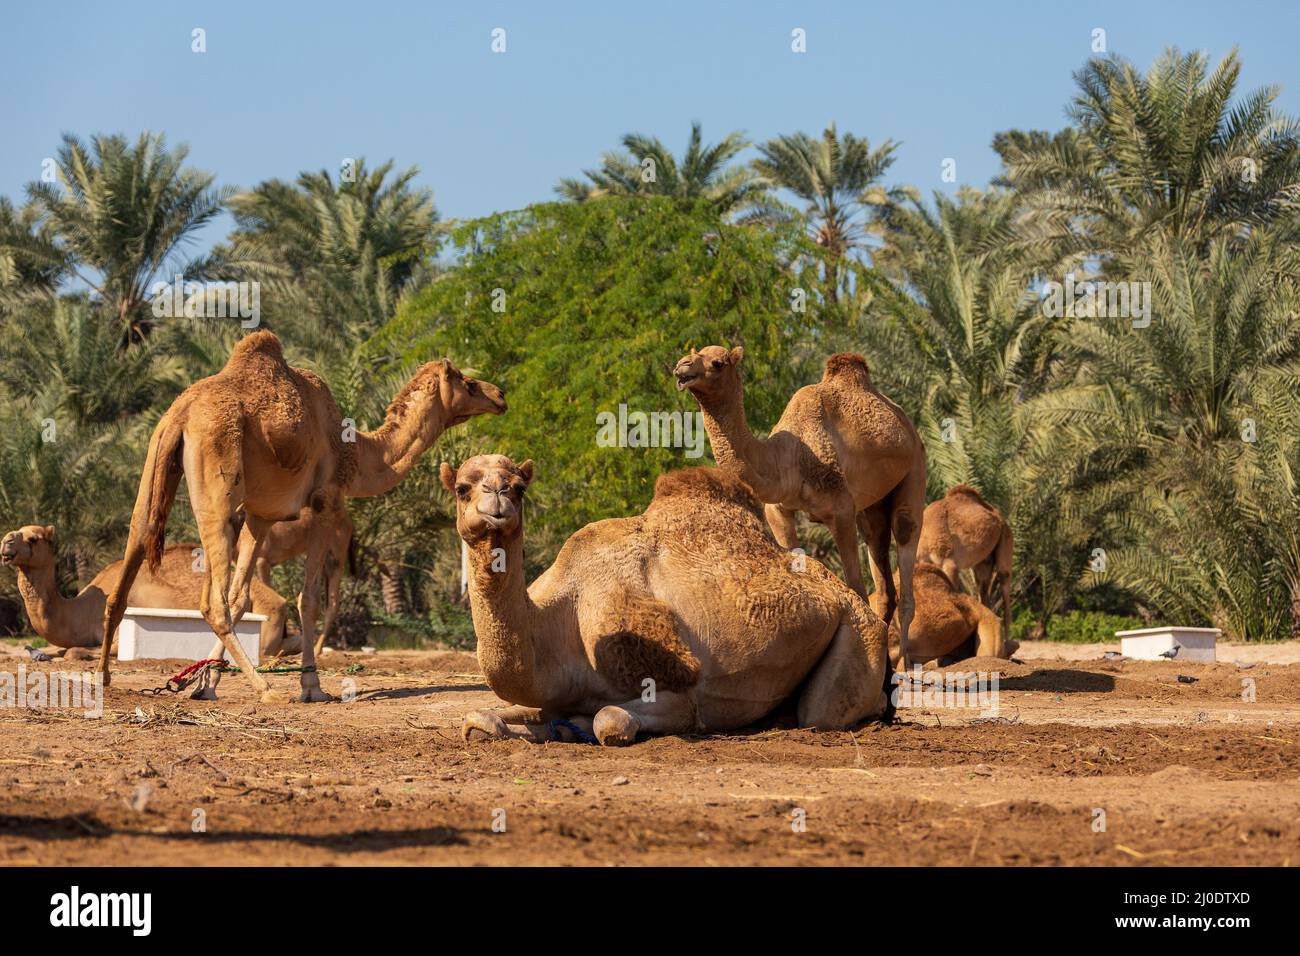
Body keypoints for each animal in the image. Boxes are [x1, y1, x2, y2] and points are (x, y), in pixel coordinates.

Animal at [99, 330, 505, 703]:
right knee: (212, 602)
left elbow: (242, 598)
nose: (499, 395)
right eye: (468, 383)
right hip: (219, 482)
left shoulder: (260, 516)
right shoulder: (325, 500)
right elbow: (306, 599)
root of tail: (181, 415)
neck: (355, 451)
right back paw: (265, 688)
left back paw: (103, 675)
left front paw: (206, 683)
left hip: (157, 461)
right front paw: (311, 686)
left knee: (134, 551)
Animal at [444, 455, 891, 746]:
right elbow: (480, 719)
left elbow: (609, 720)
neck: (560, 621)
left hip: (859, 628)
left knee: (824, 711)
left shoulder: (682, 695)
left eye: (519, 487)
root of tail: (843, 591)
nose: (497, 497)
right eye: (462, 488)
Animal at [674, 346, 927, 666]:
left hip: (915, 466)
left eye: (717, 363)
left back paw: (905, 666)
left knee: (905, 537)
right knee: (880, 566)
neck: (789, 458)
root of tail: (905, 421)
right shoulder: (778, 510)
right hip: (873, 505)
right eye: (693, 353)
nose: (682, 367)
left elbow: (856, 588)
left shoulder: (841, 510)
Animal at [917, 485, 1014, 638]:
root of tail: (999, 517)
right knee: (983, 590)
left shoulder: (949, 562)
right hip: (983, 562)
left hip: (1005, 538)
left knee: (1004, 582)